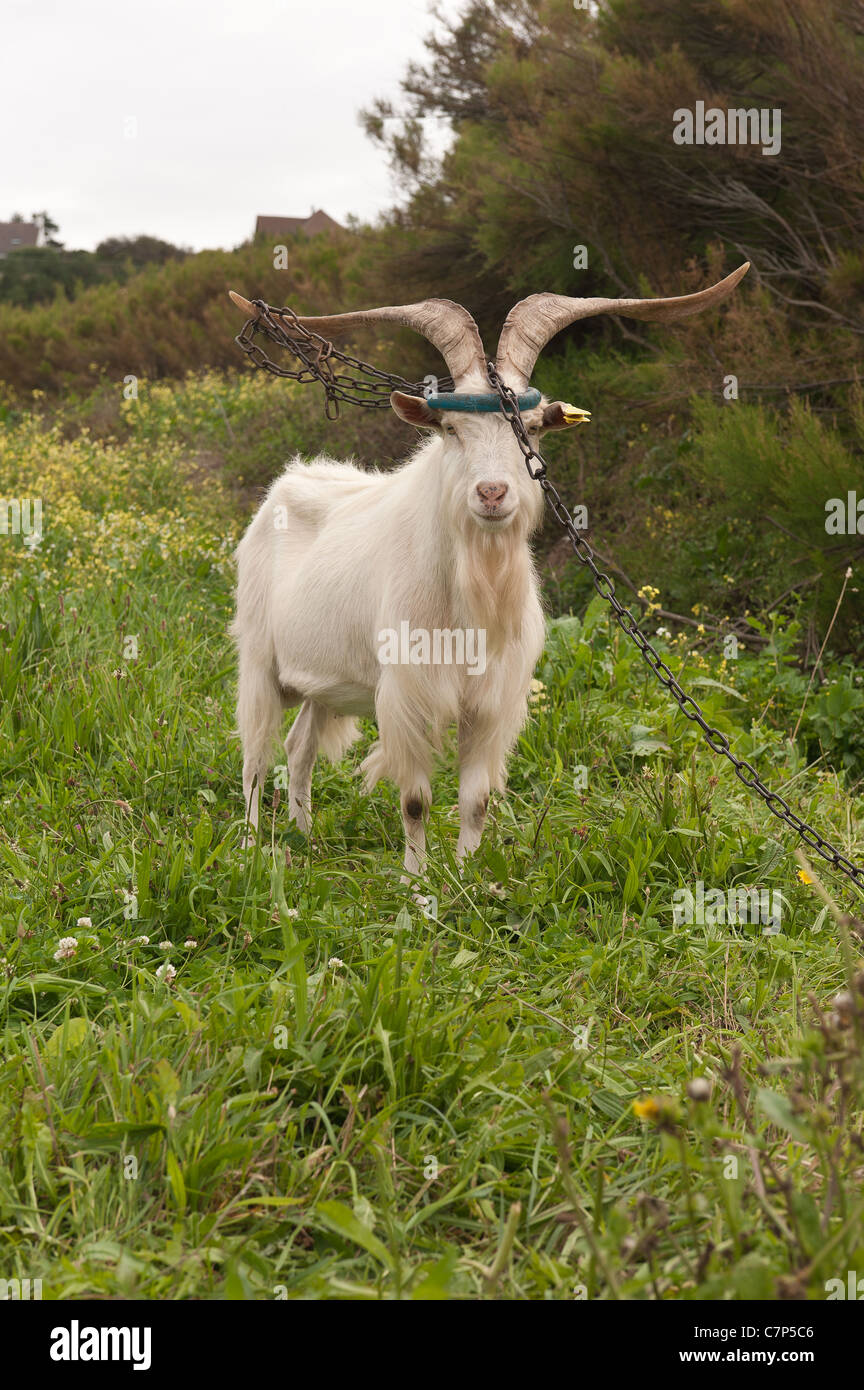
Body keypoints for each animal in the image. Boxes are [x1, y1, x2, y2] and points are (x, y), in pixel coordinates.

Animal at [228, 265, 749, 880]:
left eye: (534, 427)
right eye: (451, 428)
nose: (493, 493)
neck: (471, 594)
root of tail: (286, 484)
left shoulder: (491, 702)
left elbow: (475, 798)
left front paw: (470, 875)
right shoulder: (409, 693)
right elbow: (415, 799)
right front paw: (416, 882)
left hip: (324, 681)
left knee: (299, 747)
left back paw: (305, 838)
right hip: (258, 661)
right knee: (255, 756)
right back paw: (252, 848)